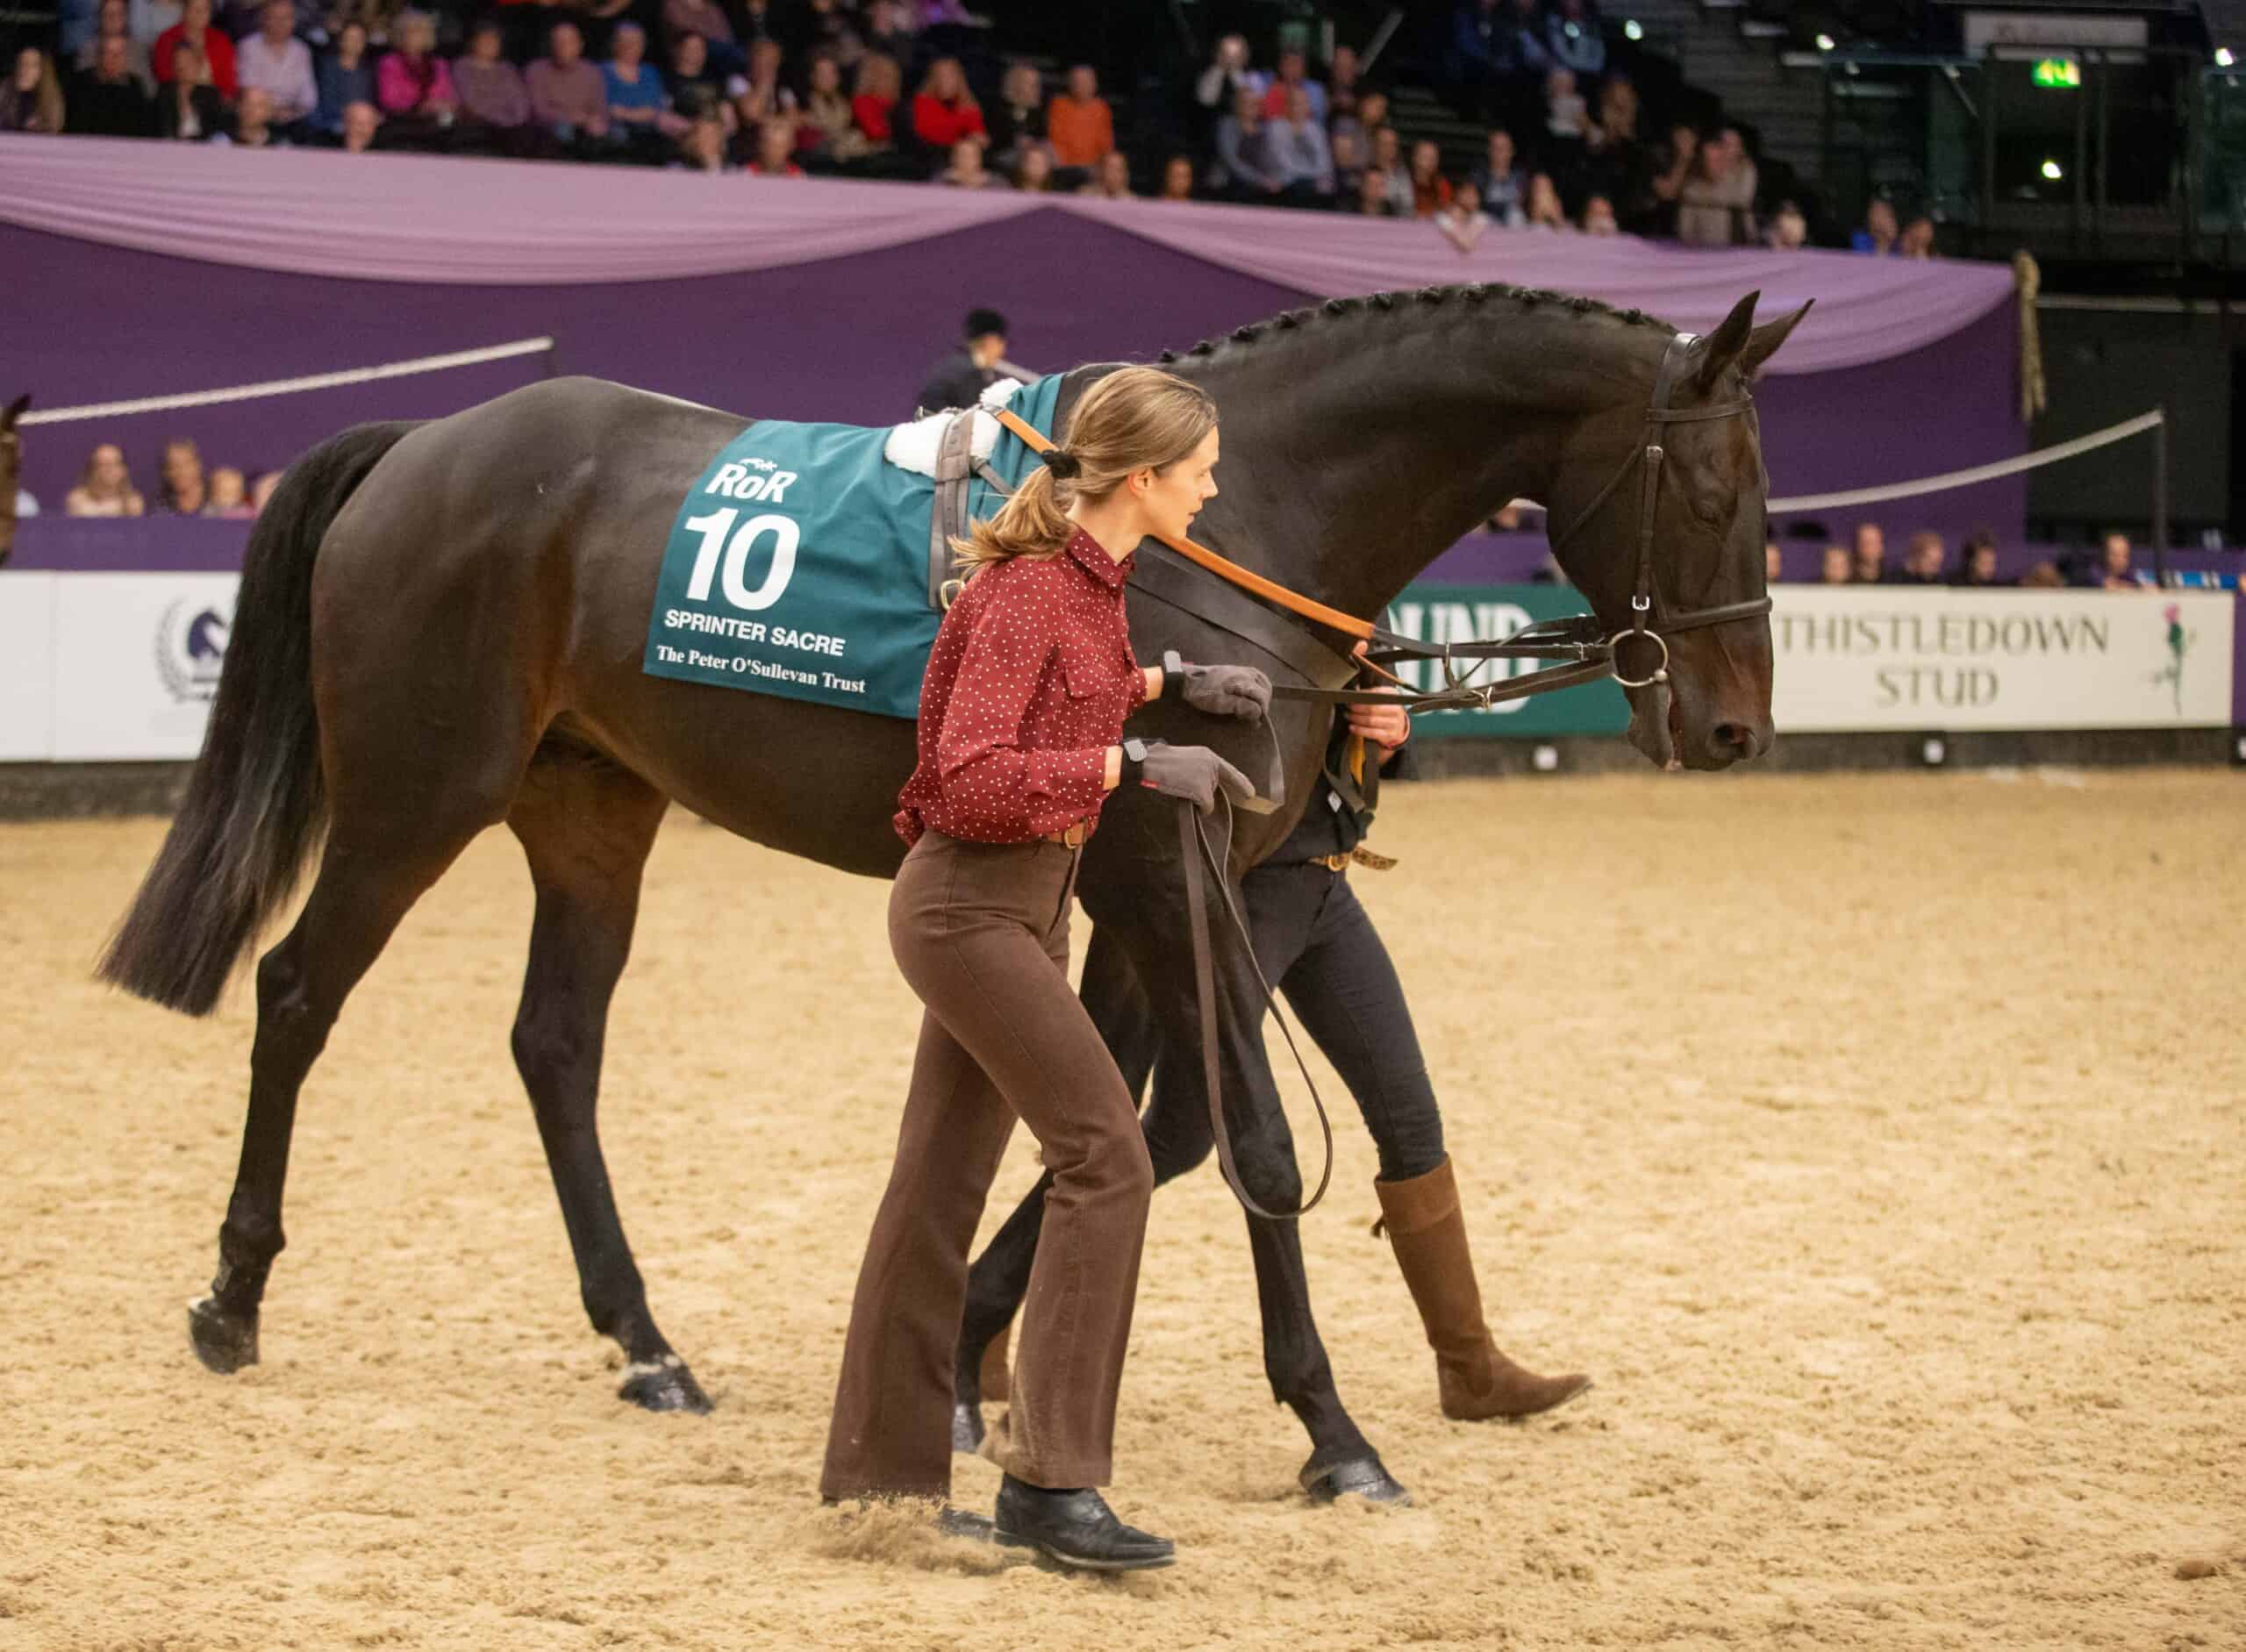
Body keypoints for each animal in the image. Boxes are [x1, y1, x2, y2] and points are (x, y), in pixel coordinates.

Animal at [93, 282, 1805, 1505]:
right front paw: (1330, 1427)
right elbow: (1246, 1141)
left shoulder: (1141, 898)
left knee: (555, 1045)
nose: (1732, 728)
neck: (1217, 534)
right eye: (1712, 488)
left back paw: (645, 1342)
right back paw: (232, 1297)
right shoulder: (1162, 872)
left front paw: (976, 1367)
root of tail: (423, 444)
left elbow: (1144, 1120)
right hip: (414, 796)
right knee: (298, 993)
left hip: (590, 813)